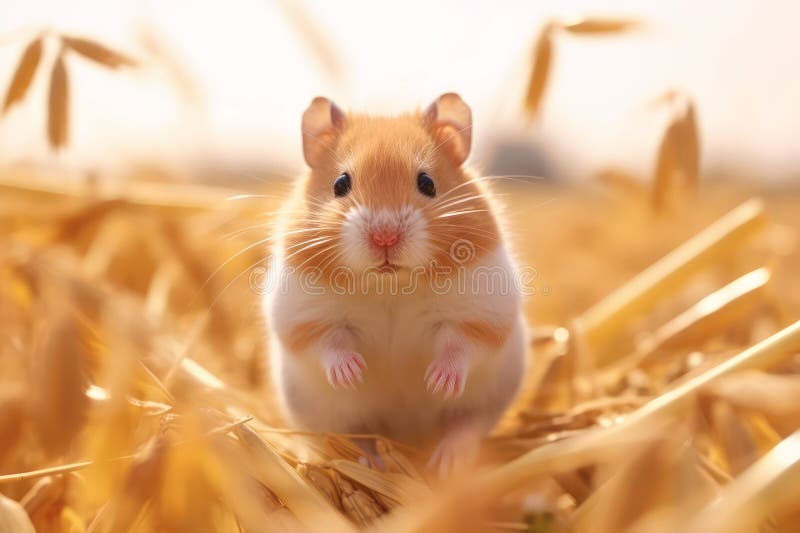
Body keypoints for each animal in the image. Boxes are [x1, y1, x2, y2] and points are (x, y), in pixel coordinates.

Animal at [264, 93, 527, 474]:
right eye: (340, 184)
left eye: (427, 183)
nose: (384, 236)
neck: (389, 286)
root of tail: (408, 438)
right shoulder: (306, 316)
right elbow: (330, 342)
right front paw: (353, 373)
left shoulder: (479, 313)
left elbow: (459, 345)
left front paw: (437, 381)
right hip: (330, 415)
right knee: (357, 436)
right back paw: (373, 463)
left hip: (487, 397)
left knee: (466, 426)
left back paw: (445, 463)